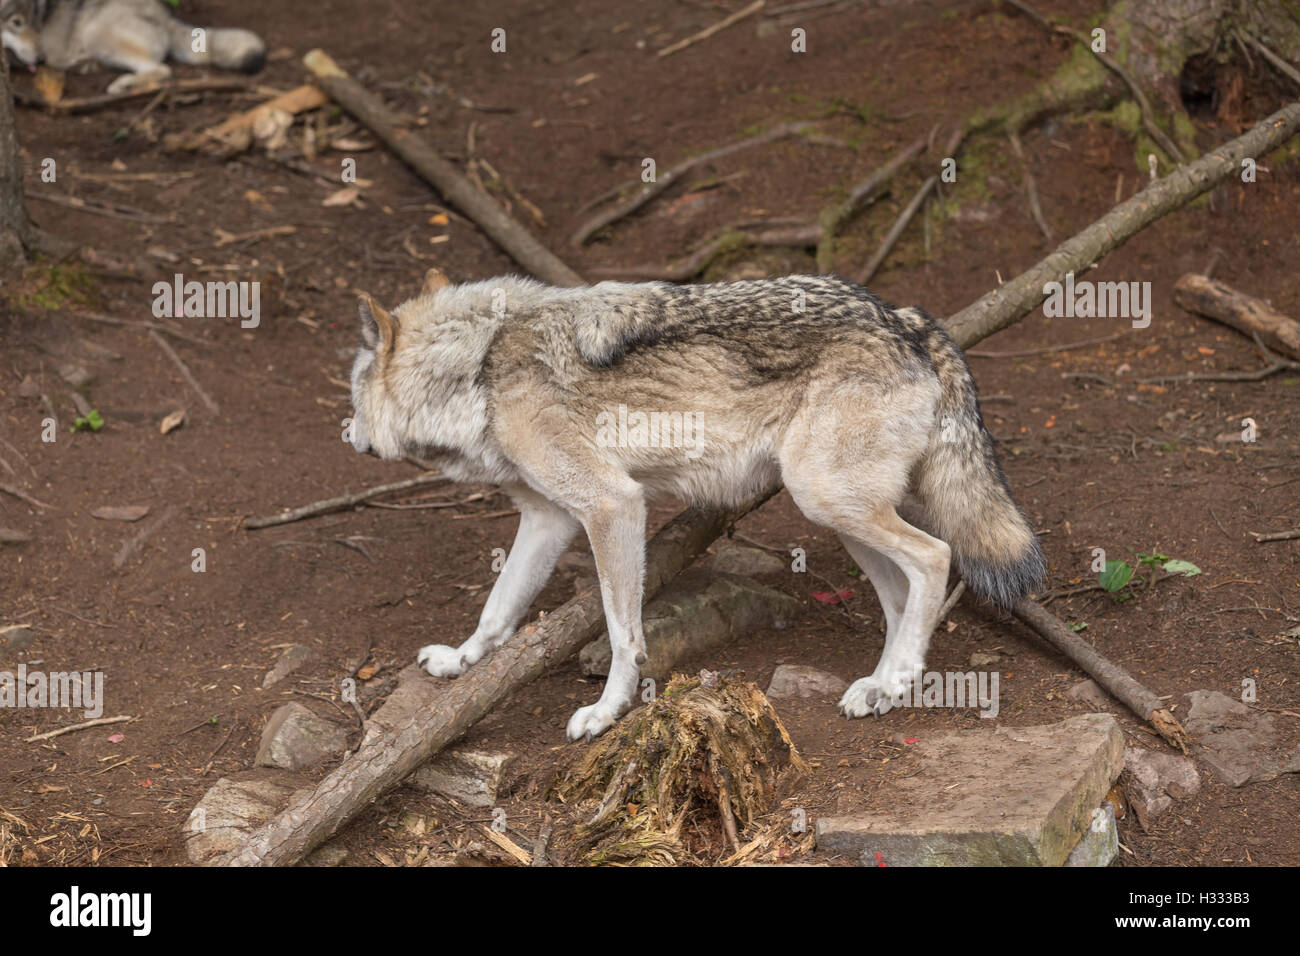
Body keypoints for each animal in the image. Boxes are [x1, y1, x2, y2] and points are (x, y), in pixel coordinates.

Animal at [1, 0, 264, 93]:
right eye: (17, 23)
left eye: (30, 22)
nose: (41, 57)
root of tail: (165, 15)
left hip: (95, 32)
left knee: (161, 69)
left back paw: (124, 84)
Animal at [348, 269, 1045, 740]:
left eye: (352, 391)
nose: (345, 432)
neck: (479, 365)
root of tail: (904, 318)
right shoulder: (548, 518)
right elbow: (497, 611)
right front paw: (458, 662)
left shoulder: (612, 505)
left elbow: (622, 633)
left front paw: (606, 713)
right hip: (834, 510)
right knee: (901, 596)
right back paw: (882, 687)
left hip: (826, 498)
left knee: (936, 557)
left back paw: (897, 680)